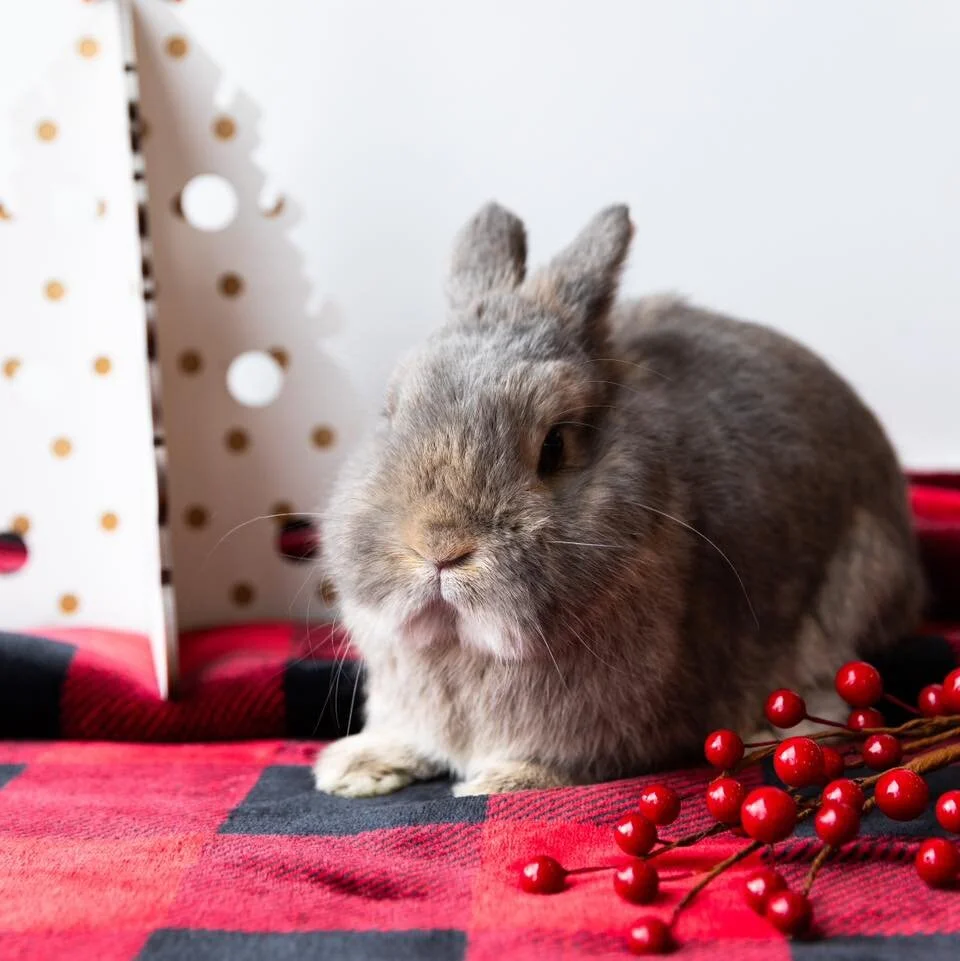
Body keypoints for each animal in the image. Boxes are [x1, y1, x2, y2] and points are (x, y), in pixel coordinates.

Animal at [313, 201, 925, 798]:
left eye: (554, 445)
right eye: (392, 414)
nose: (439, 547)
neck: (464, 645)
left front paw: (503, 780)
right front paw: (353, 768)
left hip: (849, 599)